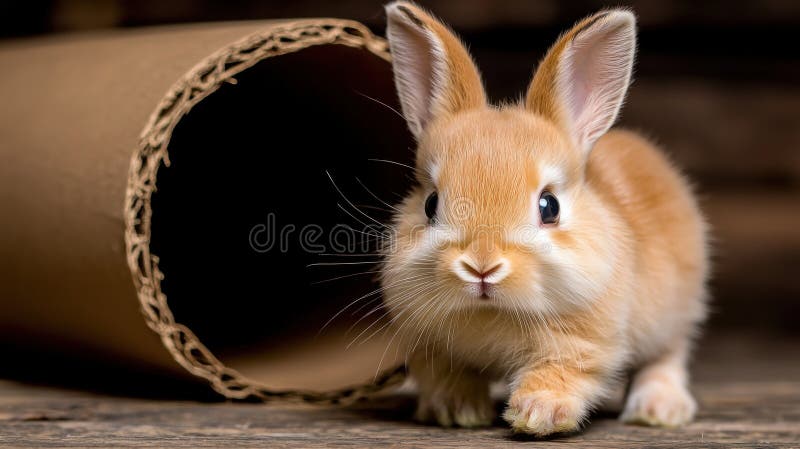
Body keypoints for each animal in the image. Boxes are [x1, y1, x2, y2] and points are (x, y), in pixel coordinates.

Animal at [379, 1, 709, 436]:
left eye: (549, 206)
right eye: (431, 204)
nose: (481, 267)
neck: (494, 314)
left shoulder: (585, 344)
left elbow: (561, 374)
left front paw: (537, 415)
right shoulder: (428, 345)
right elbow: (447, 377)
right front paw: (457, 412)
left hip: (674, 315)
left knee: (666, 358)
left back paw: (657, 409)